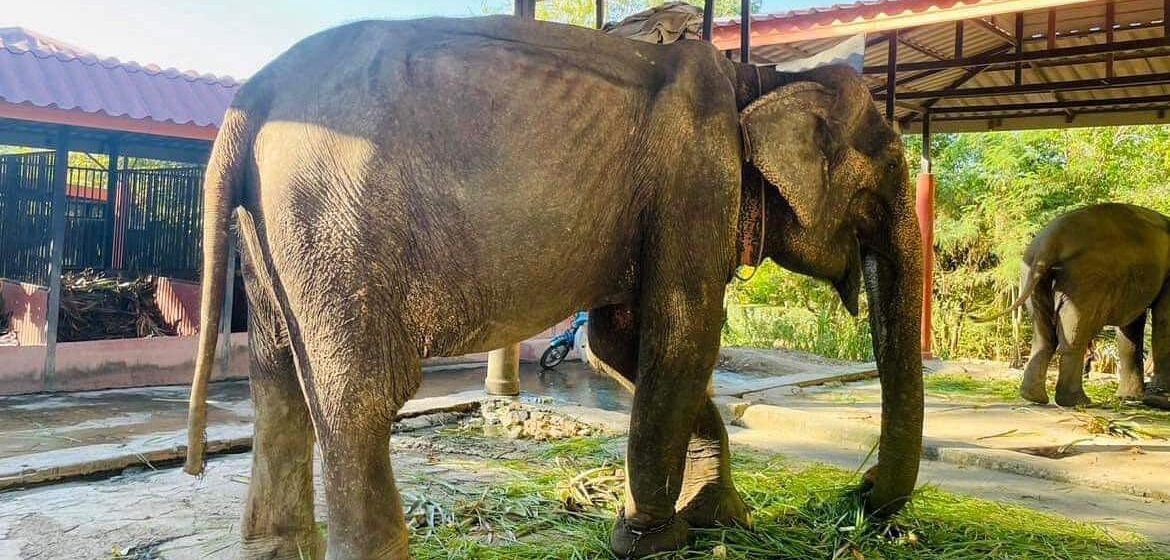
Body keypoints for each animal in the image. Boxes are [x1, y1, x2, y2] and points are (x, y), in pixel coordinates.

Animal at [182, 15, 924, 560]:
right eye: (890, 170)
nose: (858, 496)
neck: (758, 77)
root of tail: (248, 100)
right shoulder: (696, 182)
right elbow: (684, 337)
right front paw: (653, 540)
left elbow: (622, 344)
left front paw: (720, 520)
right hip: (334, 222)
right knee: (359, 396)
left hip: (272, 229)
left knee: (276, 381)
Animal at [1000, 203, 1170, 408]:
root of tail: (1049, 242)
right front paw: (1157, 401)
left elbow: (1131, 326)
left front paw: (1130, 398)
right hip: (1086, 280)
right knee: (1076, 333)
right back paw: (1078, 402)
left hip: (1032, 276)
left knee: (1043, 334)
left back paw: (1034, 397)